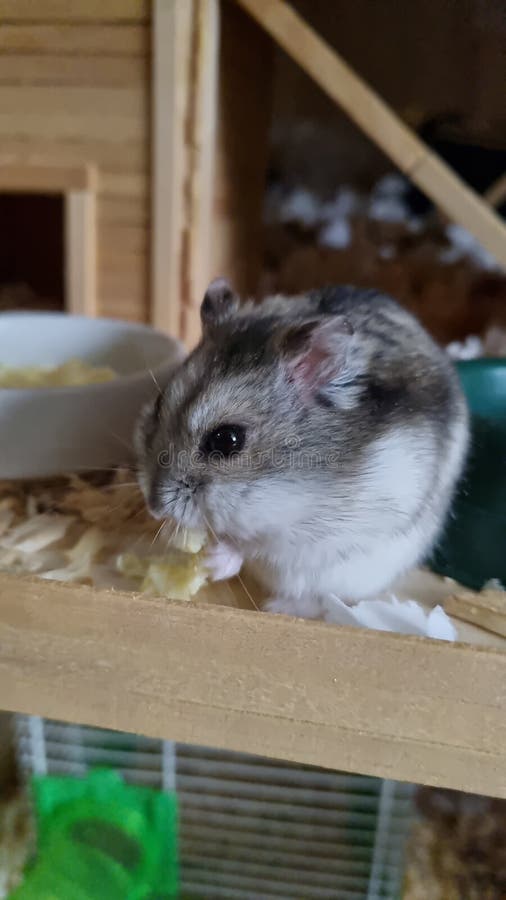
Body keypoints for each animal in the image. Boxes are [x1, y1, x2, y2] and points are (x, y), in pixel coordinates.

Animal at [136, 280, 469, 620]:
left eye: (227, 440)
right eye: (160, 404)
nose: (154, 507)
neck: (290, 486)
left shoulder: (315, 537)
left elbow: (256, 547)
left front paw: (213, 560)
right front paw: (170, 536)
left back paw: (278, 607)